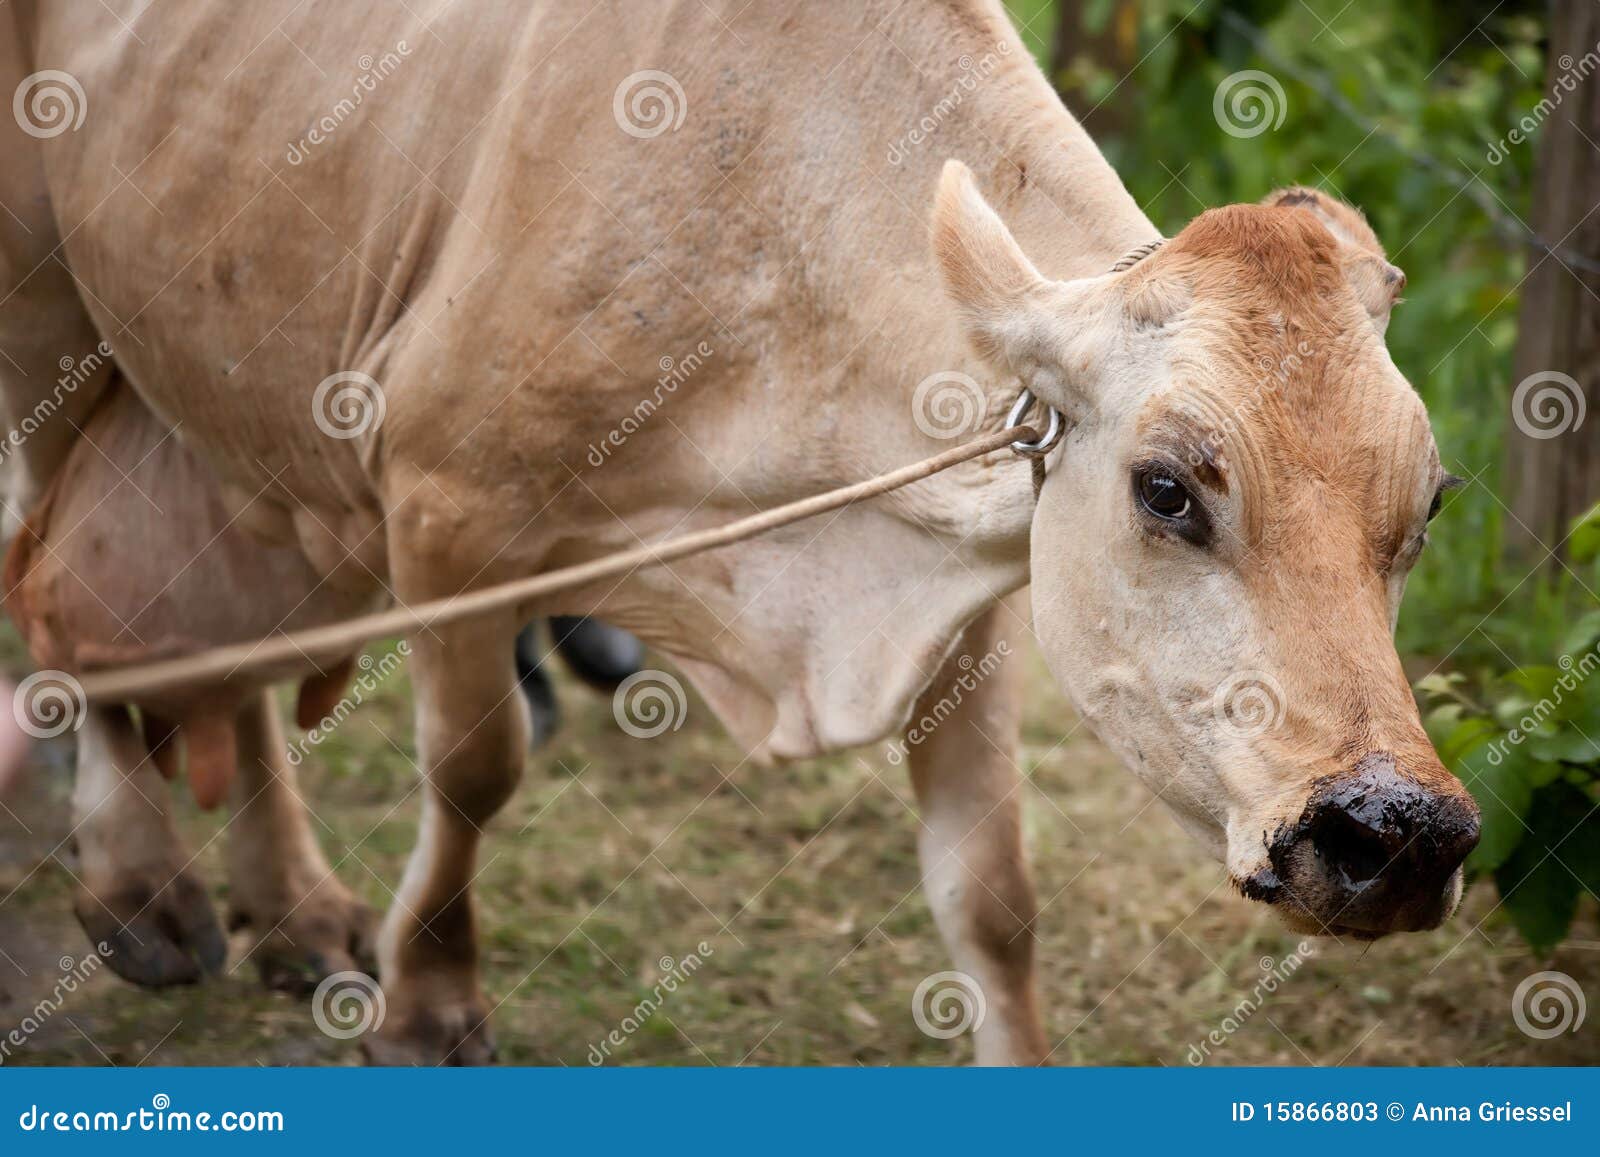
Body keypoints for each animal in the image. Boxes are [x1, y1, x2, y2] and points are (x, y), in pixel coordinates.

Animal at [0, 0, 1479, 1065]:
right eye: (1166, 487)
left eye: (1430, 504)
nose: (1398, 832)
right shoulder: (445, 506)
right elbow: (473, 768)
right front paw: (429, 1009)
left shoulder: (969, 584)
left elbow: (991, 891)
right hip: (46, 311)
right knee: (46, 584)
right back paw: (138, 887)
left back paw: (293, 904)